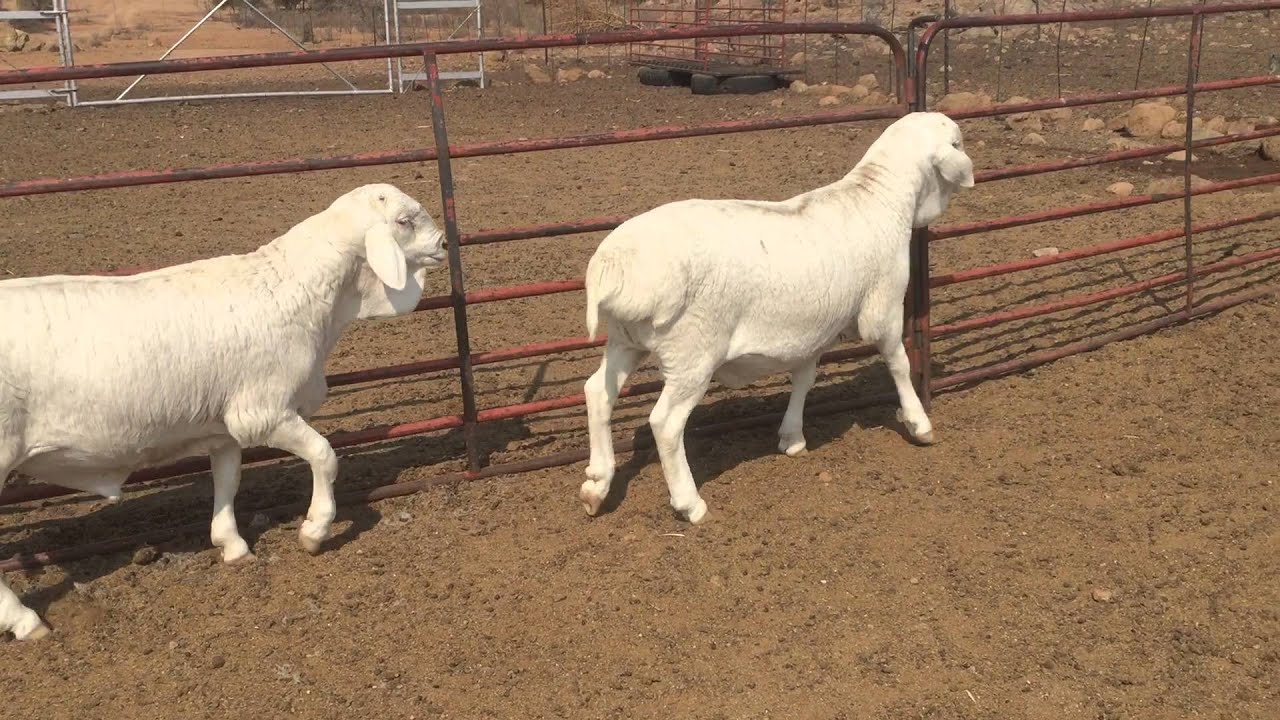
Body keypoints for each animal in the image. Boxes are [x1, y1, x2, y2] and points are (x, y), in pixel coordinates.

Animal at [0, 183, 447, 640]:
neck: (304, 294)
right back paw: (24, 620)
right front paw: (314, 530)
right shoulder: (263, 412)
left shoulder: (224, 426)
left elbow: (228, 480)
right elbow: (325, 456)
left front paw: (231, 545)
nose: (445, 244)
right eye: (404, 221)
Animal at [578, 111, 974, 523]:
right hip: (692, 351)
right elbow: (898, 363)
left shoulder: (811, 329)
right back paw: (690, 503)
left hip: (625, 339)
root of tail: (614, 264)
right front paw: (919, 423)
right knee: (666, 423)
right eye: (958, 144)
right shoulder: (882, 308)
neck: (877, 196)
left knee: (598, 393)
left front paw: (792, 436)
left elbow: (804, 379)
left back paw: (596, 485)